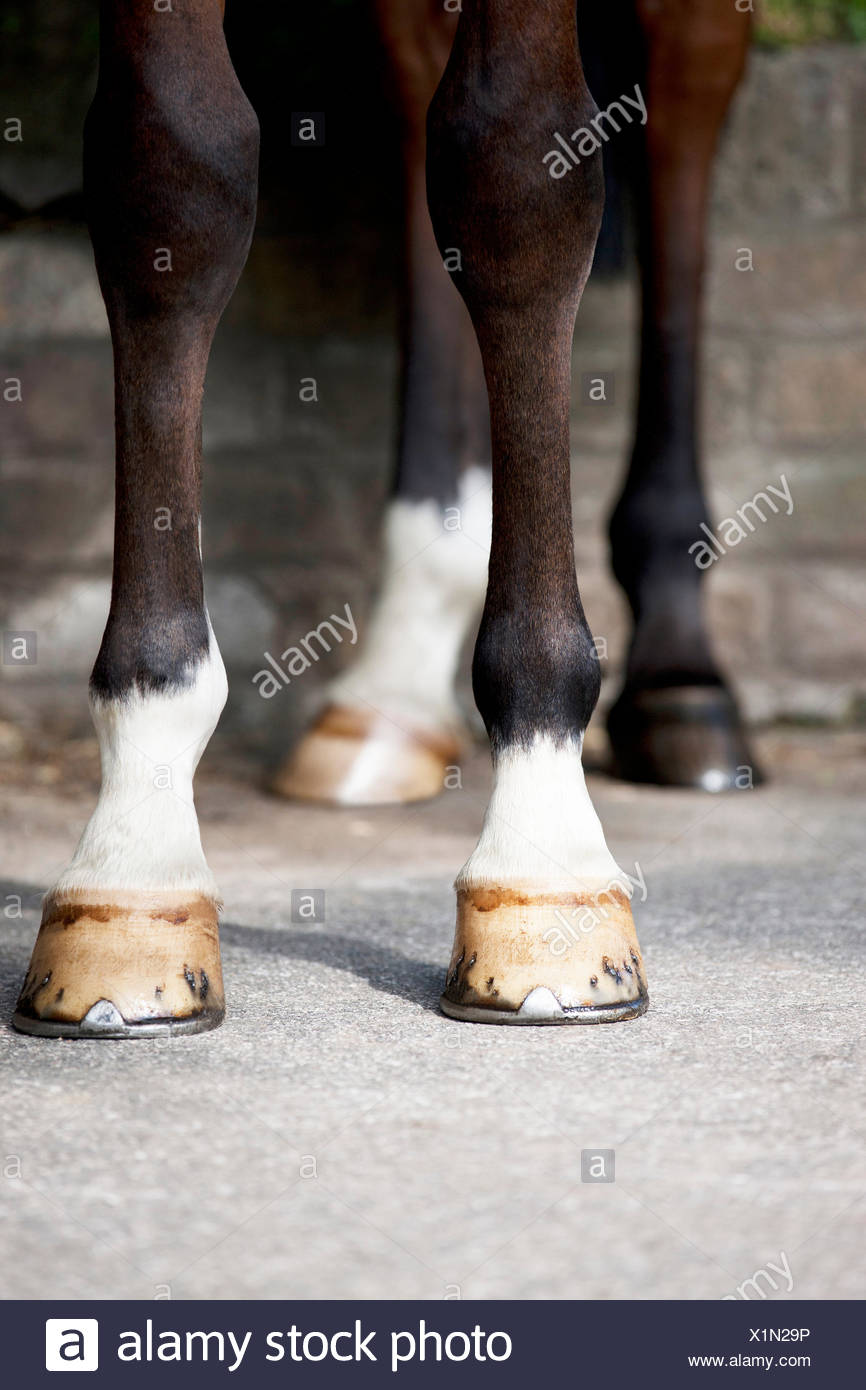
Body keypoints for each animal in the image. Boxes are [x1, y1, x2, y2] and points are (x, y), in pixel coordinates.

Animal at [12, 0, 753, 1038]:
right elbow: (169, 174)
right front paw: (134, 857)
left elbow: (517, 158)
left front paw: (544, 861)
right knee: (414, 76)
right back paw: (394, 685)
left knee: (692, 65)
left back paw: (683, 674)